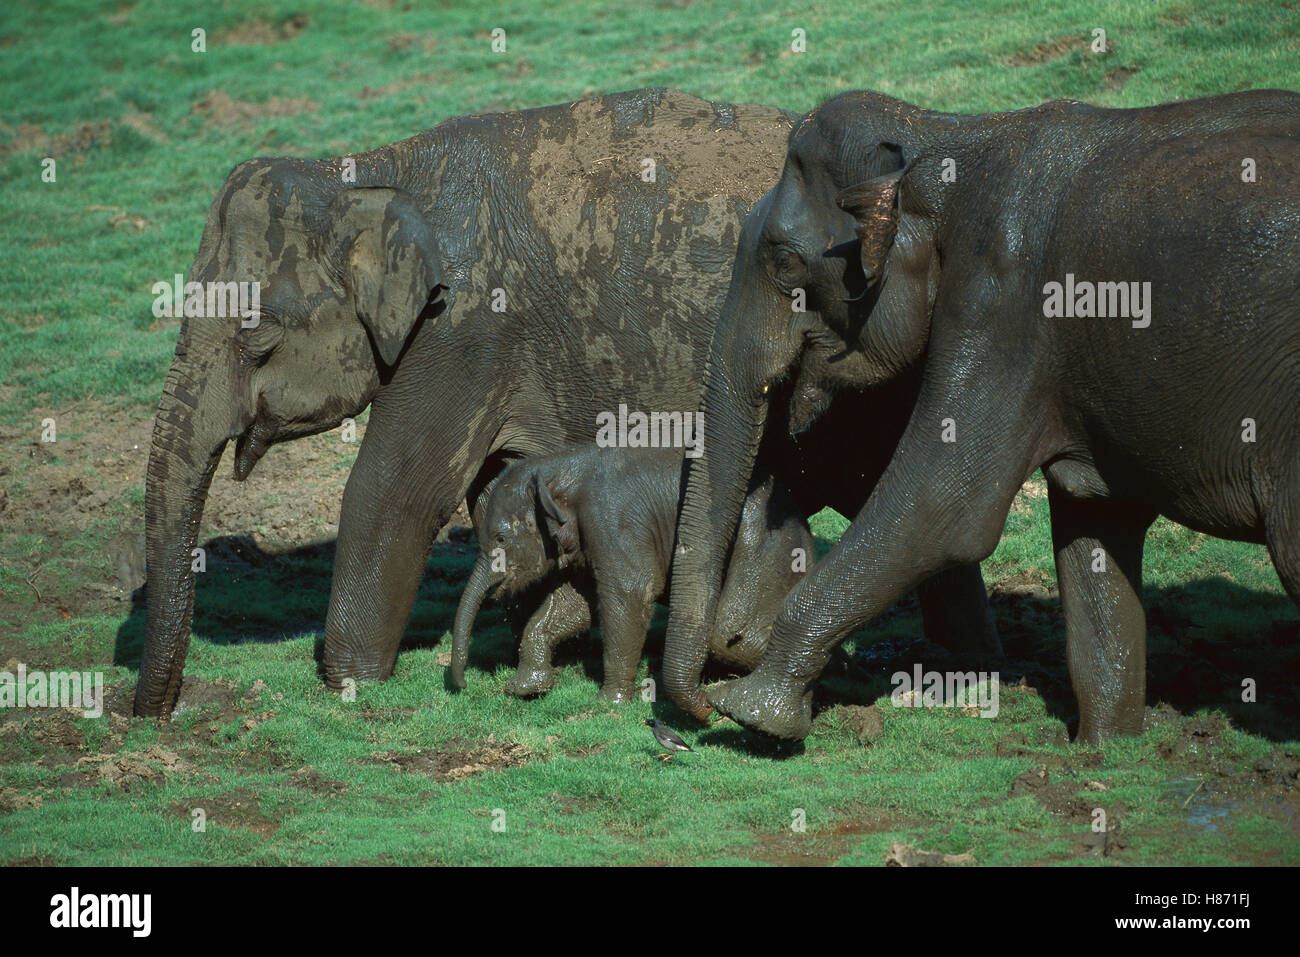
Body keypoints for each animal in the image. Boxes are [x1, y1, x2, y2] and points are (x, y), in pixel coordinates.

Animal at [450, 445, 812, 701]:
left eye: (500, 538)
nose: (463, 685)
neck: (558, 466)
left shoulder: (614, 523)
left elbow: (630, 594)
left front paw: (609, 703)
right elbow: (575, 606)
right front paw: (524, 690)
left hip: (763, 549)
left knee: (731, 636)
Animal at [665, 88, 1300, 743]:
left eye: (786, 264)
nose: (698, 710)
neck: (952, 137)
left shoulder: (1002, 306)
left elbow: (942, 510)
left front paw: (754, 715)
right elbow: (1095, 517)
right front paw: (1106, 747)